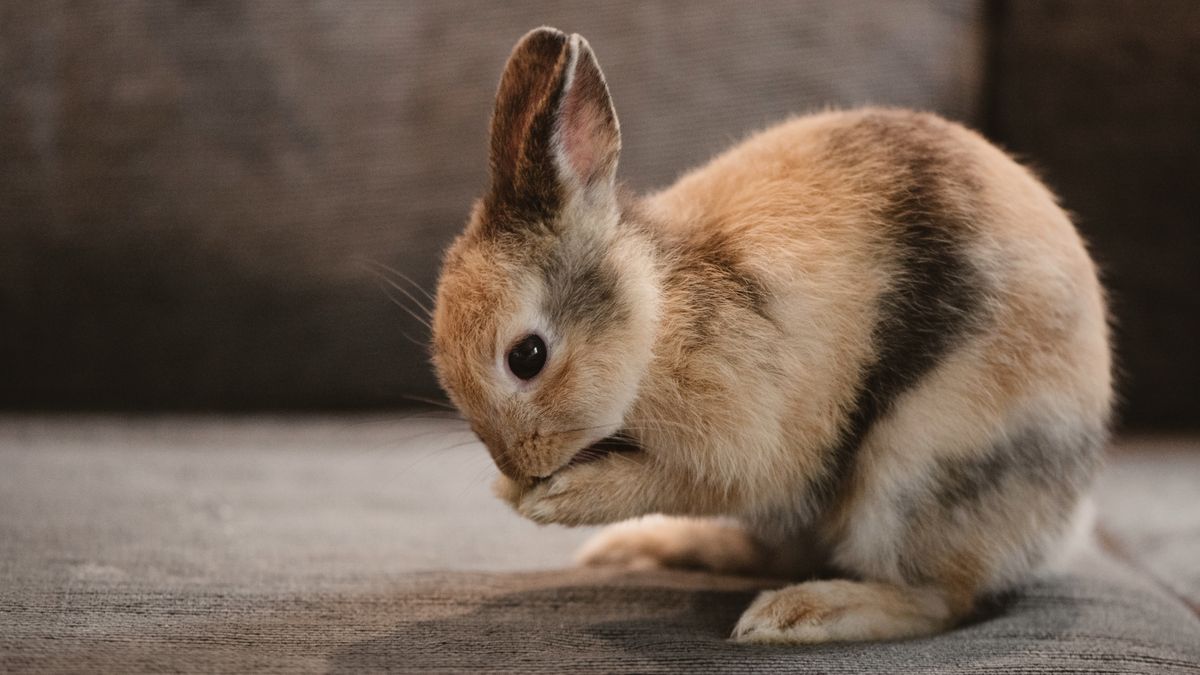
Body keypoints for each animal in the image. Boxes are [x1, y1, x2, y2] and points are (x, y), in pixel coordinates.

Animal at [430, 27, 1112, 644]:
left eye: (527, 356)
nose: (517, 464)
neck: (657, 318)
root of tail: (1063, 521)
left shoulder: (750, 447)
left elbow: (677, 482)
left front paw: (551, 501)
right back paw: (651, 549)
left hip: (919, 472)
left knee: (939, 598)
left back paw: (794, 615)